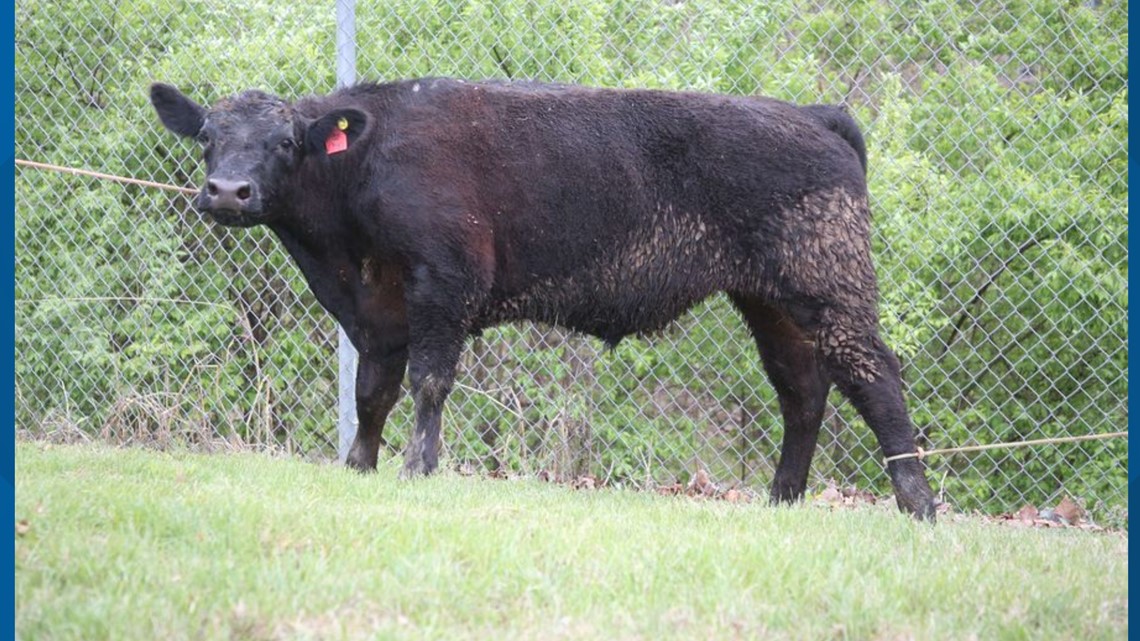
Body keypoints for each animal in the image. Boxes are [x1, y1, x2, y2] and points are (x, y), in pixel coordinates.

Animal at [150, 77, 937, 520]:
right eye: (208, 136)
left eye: (286, 141)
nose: (227, 192)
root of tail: (812, 114)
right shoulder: (378, 312)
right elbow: (373, 390)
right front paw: (359, 465)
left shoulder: (444, 285)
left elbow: (428, 381)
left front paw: (416, 468)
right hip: (770, 302)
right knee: (802, 390)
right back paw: (781, 500)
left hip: (828, 288)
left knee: (874, 375)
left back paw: (917, 504)